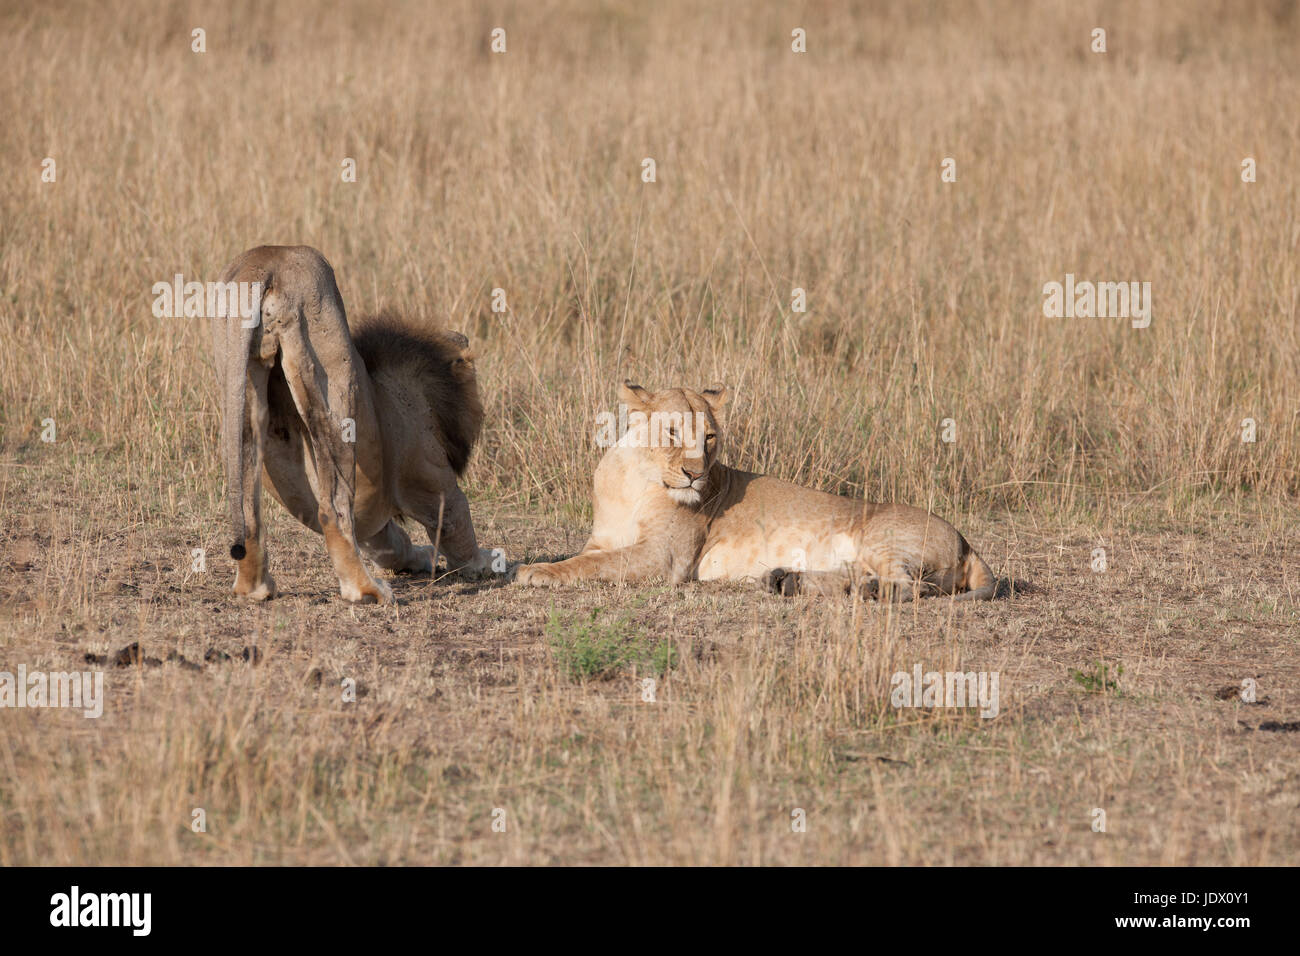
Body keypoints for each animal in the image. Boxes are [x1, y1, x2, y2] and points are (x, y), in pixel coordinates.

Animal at [212, 245, 497, 604]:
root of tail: (266, 262)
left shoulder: (377, 524)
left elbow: (392, 541)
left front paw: (417, 557)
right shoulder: (432, 481)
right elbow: (457, 523)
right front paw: (486, 562)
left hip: (239, 377)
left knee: (249, 507)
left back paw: (256, 589)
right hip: (331, 369)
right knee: (332, 509)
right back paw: (366, 590)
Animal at [514, 382, 996, 601]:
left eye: (710, 437)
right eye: (671, 432)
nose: (694, 474)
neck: (638, 478)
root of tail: (967, 542)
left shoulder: (665, 558)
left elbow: (594, 566)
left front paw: (533, 572)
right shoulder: (600, 540)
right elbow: (581, 557)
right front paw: (537, 565)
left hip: (882, 537)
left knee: (911, 586)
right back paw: (786, 579)